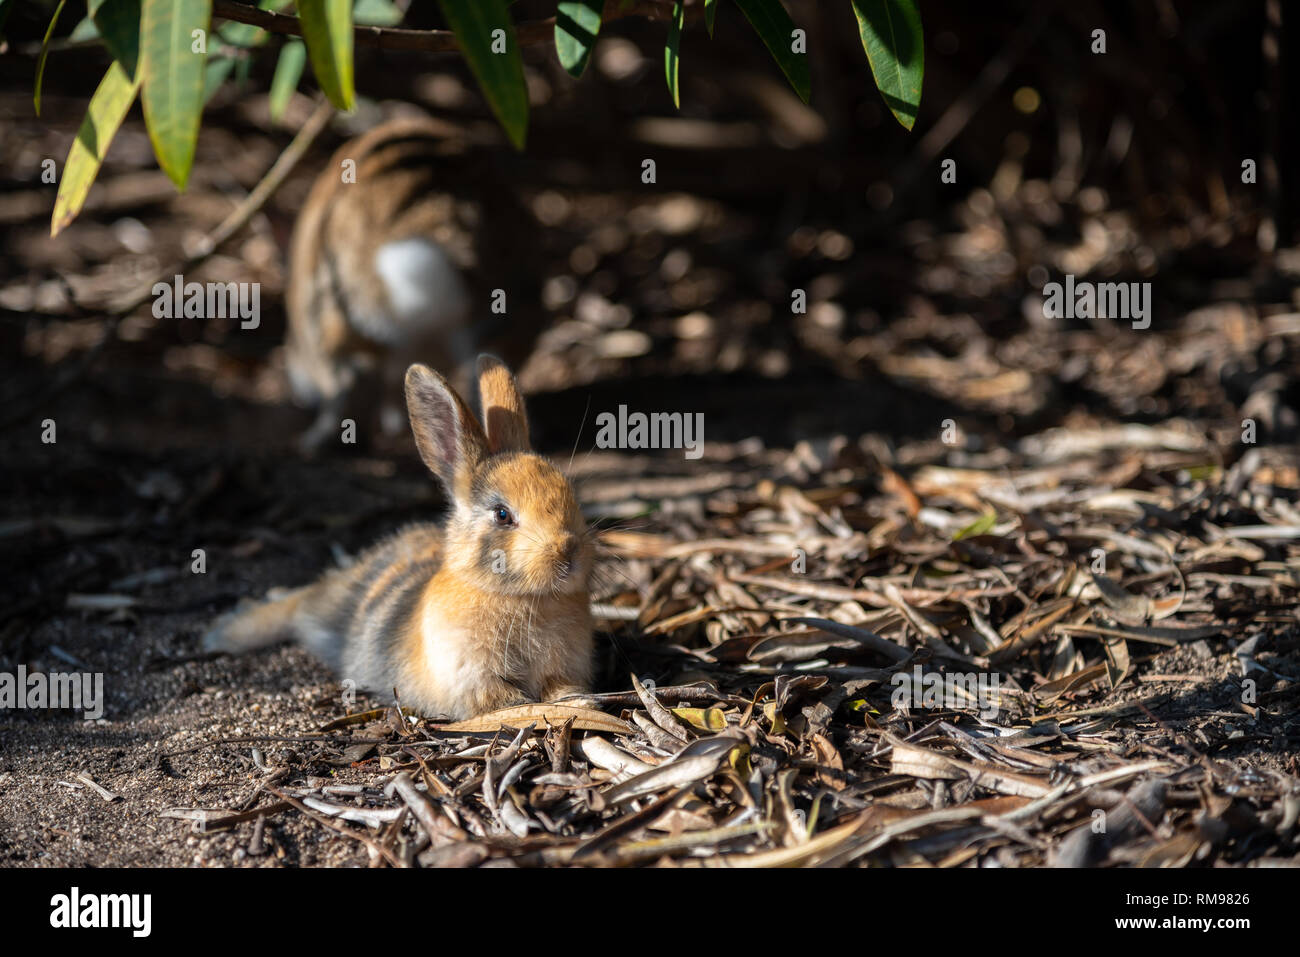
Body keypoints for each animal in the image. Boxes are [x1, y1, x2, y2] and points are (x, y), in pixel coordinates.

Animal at [202, 356, 595, 720]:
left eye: (570, 495)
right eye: (502, 515)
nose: (568, 552)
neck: (518, 597)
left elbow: (560, 687)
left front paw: (579, 702)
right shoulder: (474, 679)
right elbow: (503, 699)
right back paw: (224, 633)